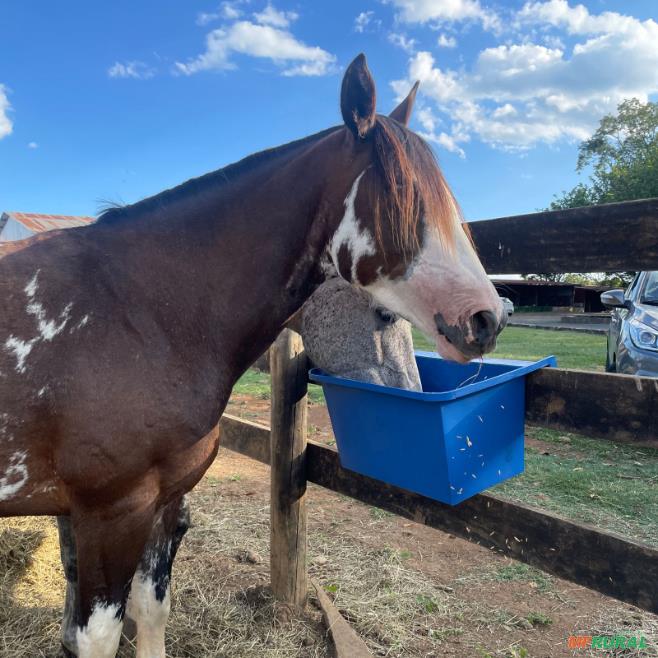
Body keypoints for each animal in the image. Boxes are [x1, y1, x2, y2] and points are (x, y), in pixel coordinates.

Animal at [0, 54, 504, 658]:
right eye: (383, 316)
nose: (487, 320)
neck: (137, 312)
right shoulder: (109, 511)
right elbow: (96, 633)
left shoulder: (161, 502)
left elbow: (150, 610)